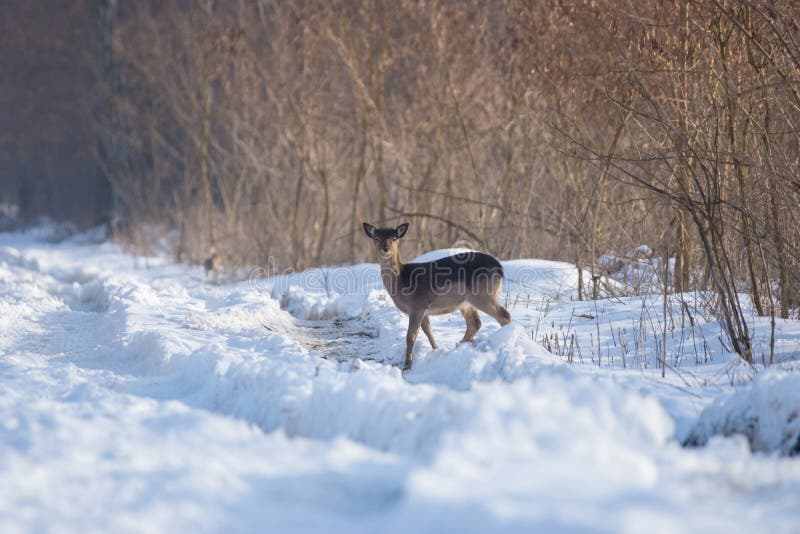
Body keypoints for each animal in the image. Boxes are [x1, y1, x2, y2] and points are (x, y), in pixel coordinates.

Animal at [363, 221, 511, 371]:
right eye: (376, 238)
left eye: (394, 238)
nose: (385, 249)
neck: (402, 283)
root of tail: (499, 268)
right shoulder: (423, 310)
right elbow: (429, 332)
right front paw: (436, 349)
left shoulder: (417, 306)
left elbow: (410, 336)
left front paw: (407, 365)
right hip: (467, 302)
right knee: (475, 323)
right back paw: (459, 345)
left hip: (483, 295)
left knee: (504, 315)